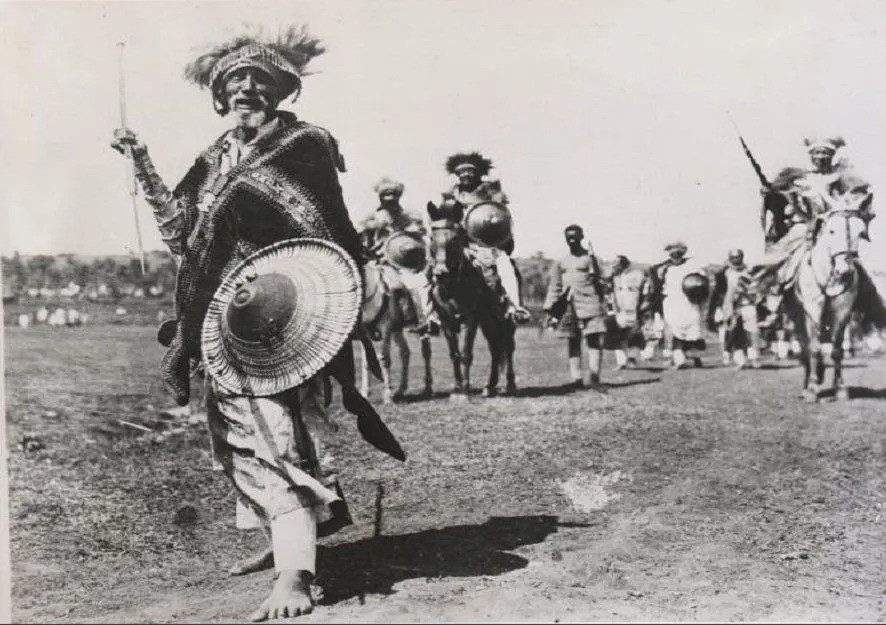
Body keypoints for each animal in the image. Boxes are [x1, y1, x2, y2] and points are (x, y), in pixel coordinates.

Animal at [426, 201, 516, 400]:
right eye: (431, 237)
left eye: (455, 238)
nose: (441, 273)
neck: (453, 286)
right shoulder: (446, 321)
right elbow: (454, 354)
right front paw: (456, 388)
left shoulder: (470, 319)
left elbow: (466, 352)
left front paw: (465, 390)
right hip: (489, 321)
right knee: (495, 349)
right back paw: (490, 386)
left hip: (504, 320)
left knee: (508, 346)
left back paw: (510, 384)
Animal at [792, 208, 868, 400]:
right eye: (831, 231)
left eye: (860, 232)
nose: (845, 271)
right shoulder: (812, 310)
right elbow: (814, 349)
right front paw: (812, 390)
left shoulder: (843, 312)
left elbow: (837, 350)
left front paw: (840, 388)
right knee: (805, 349)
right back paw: (806, 386)